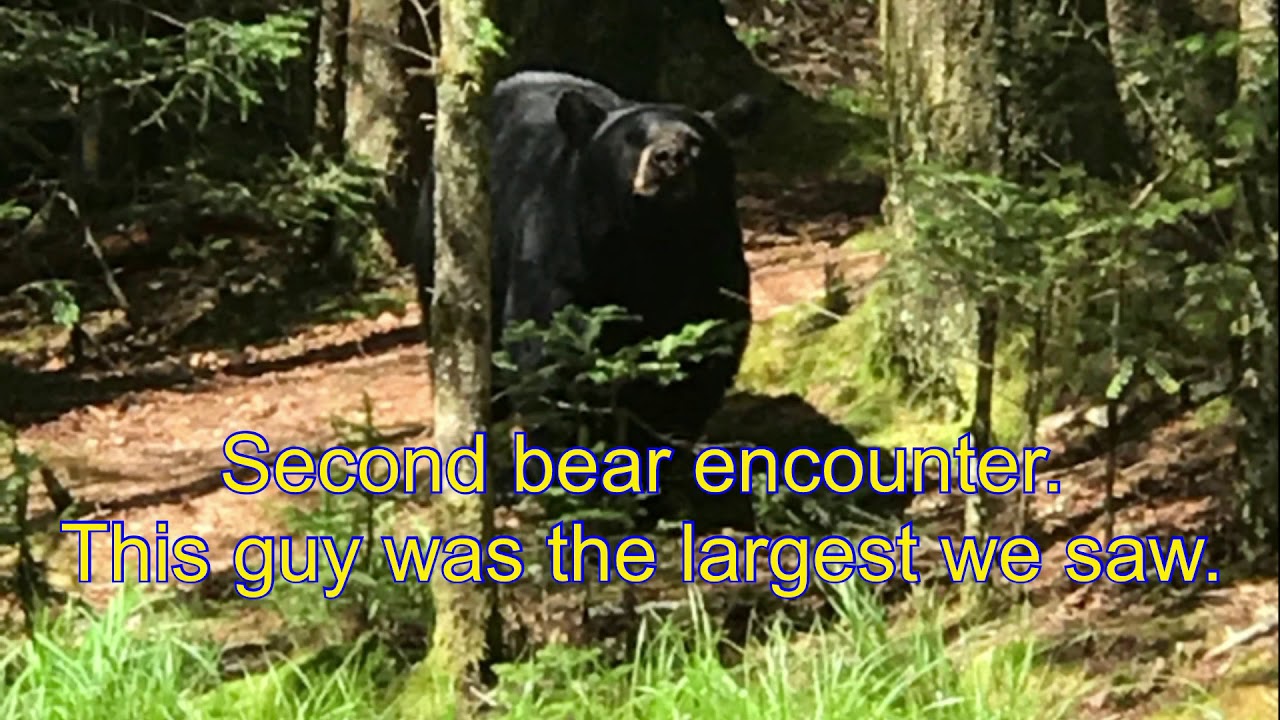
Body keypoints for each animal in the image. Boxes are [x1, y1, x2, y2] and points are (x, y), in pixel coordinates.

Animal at [413, 69, 764, 459]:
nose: (668, 157)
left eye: (695, 141)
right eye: (632, 138)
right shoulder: (562, 254)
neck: (648, 244)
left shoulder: (710, 267)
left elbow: (700, 363)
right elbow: (549, 357)